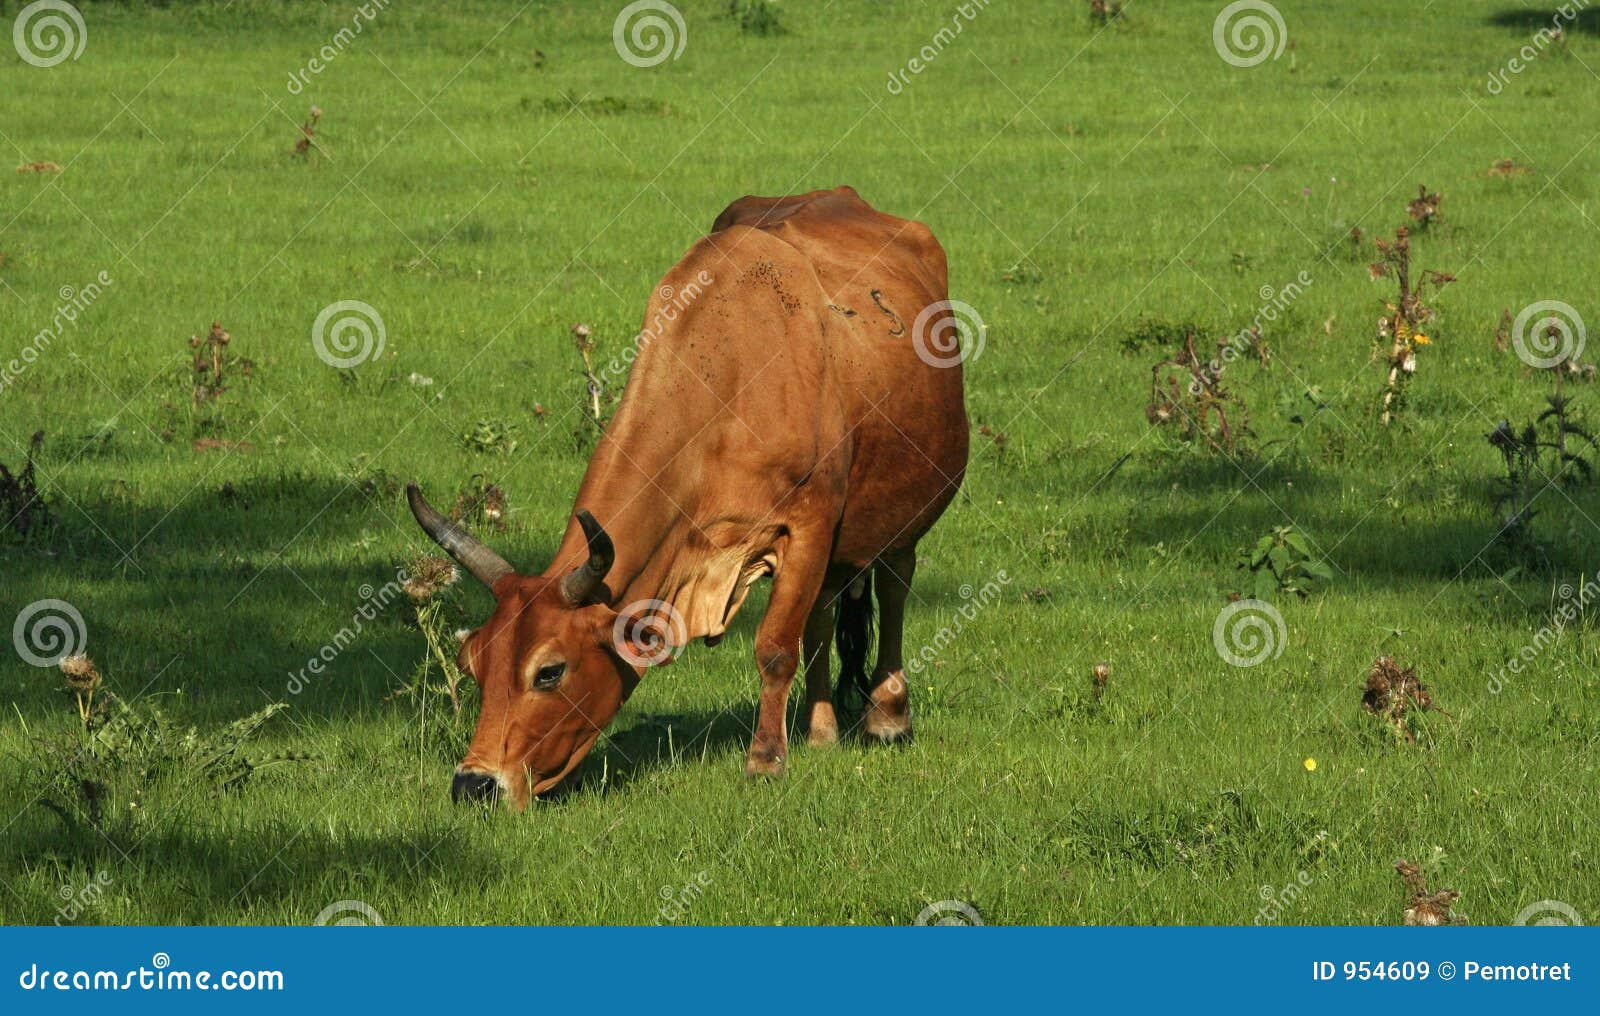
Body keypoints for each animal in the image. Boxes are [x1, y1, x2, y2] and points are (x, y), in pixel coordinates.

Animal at [407, 186, 969, 809]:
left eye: (549, 671)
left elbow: (776, 646)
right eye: (472, 663)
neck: (728, 380)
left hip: (908, 508)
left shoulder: (808, 525)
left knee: (893, 585)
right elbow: (804, 632)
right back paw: (822, 729)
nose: (473, 784)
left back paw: (888, 714)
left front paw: (766, 760)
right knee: (824, 618)